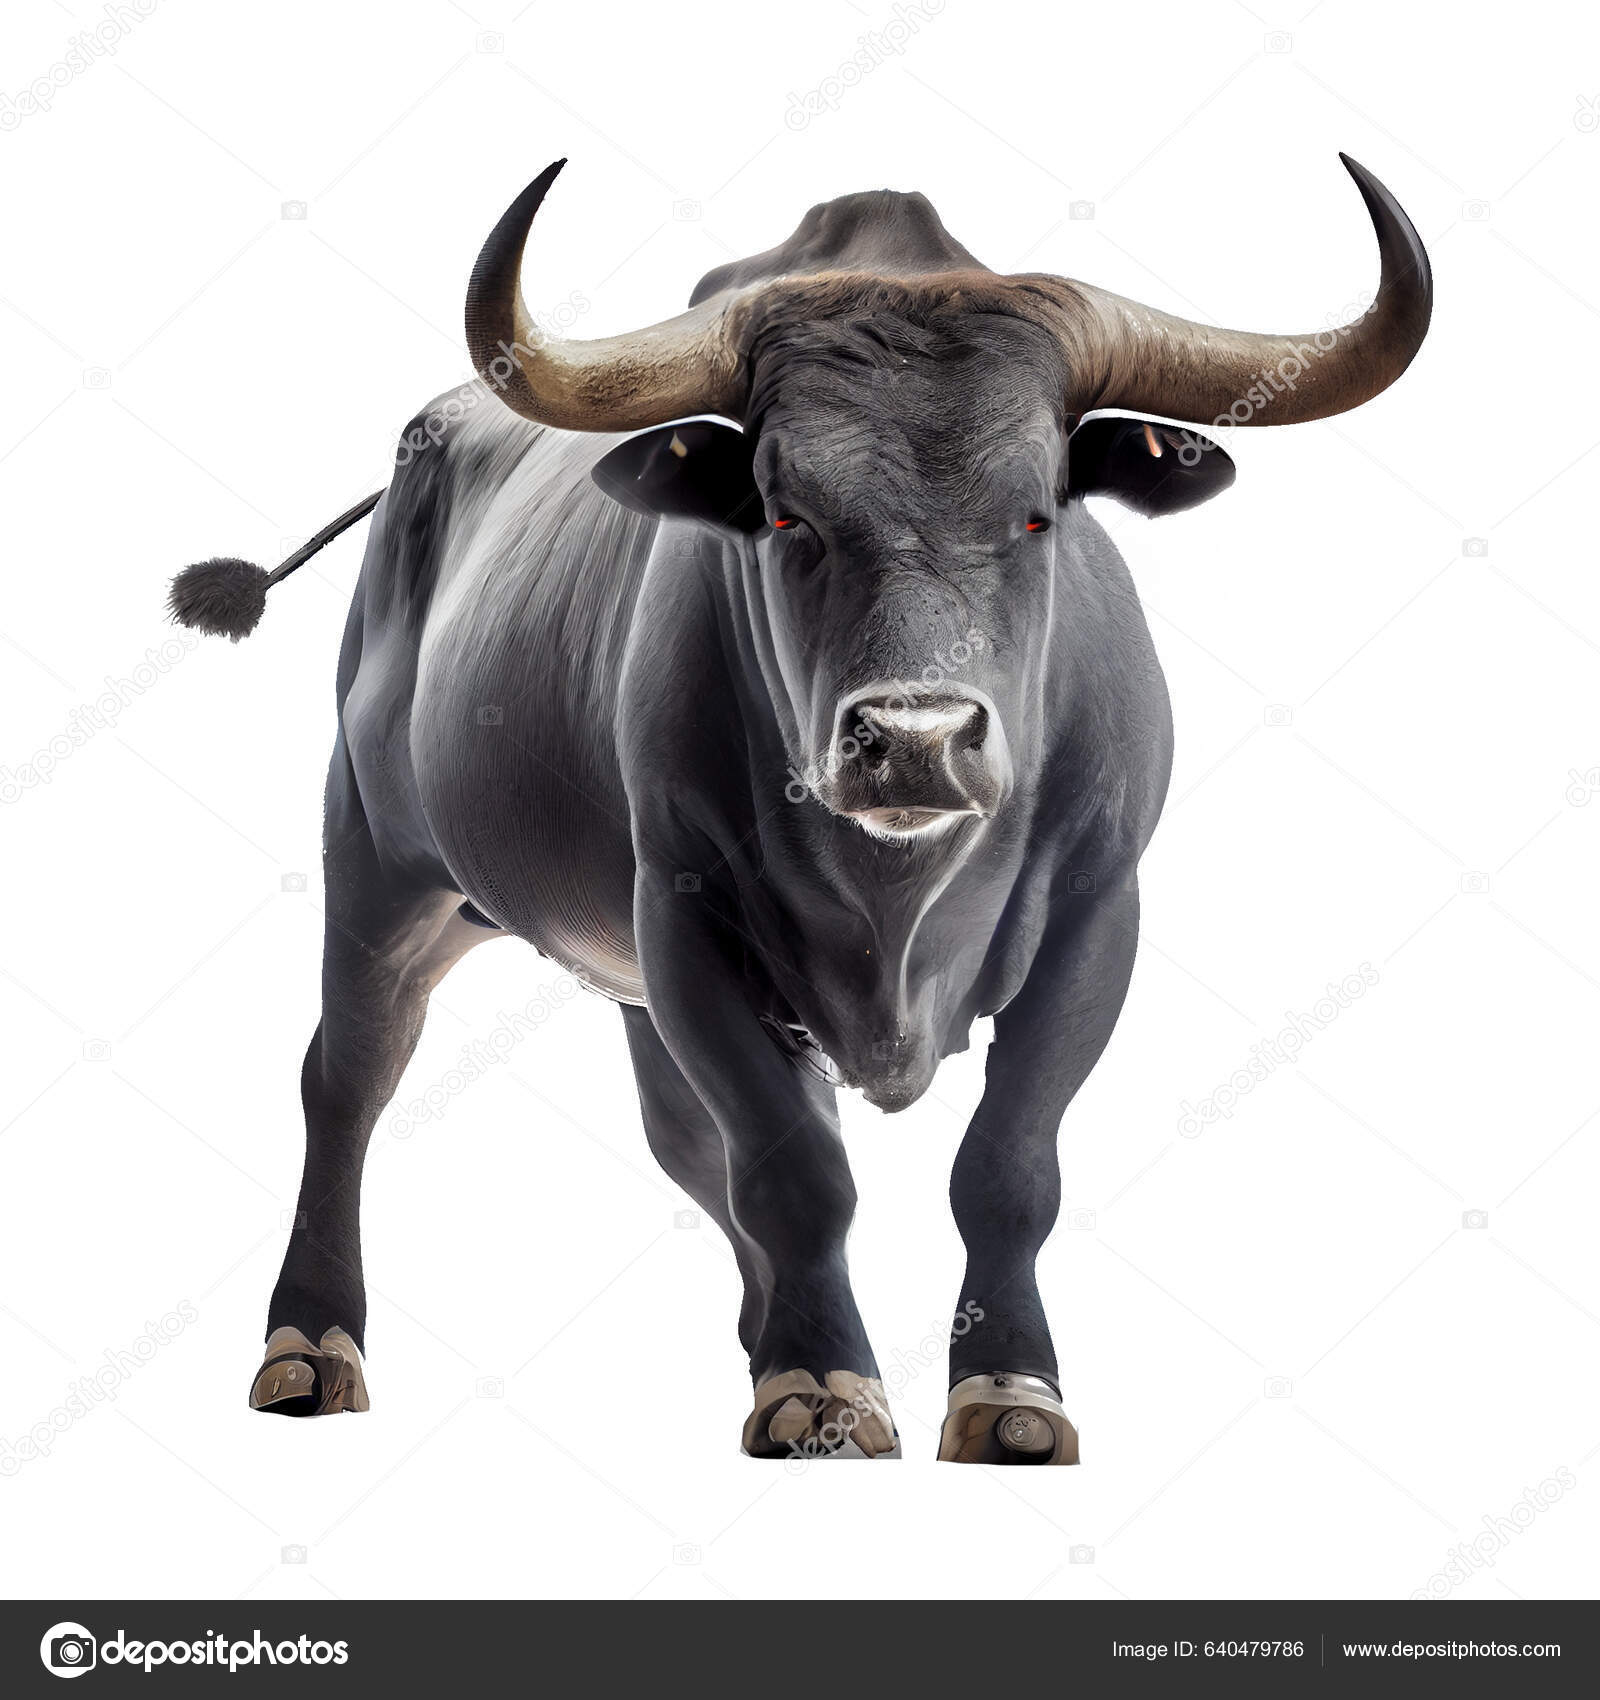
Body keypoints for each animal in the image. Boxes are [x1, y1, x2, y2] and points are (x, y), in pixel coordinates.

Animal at [170, 154, 1430, 1463]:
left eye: (1040, 509)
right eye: (786, 512)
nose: (915, 739)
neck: (898, 907)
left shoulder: (1098, 910)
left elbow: (1005, 1165)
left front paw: (1005, 1389)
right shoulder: (684, 918)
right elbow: (795, 1172)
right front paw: (822, 1376)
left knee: (683, 1140)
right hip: (379, 862)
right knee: (346, 1078)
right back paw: (310, 1341)